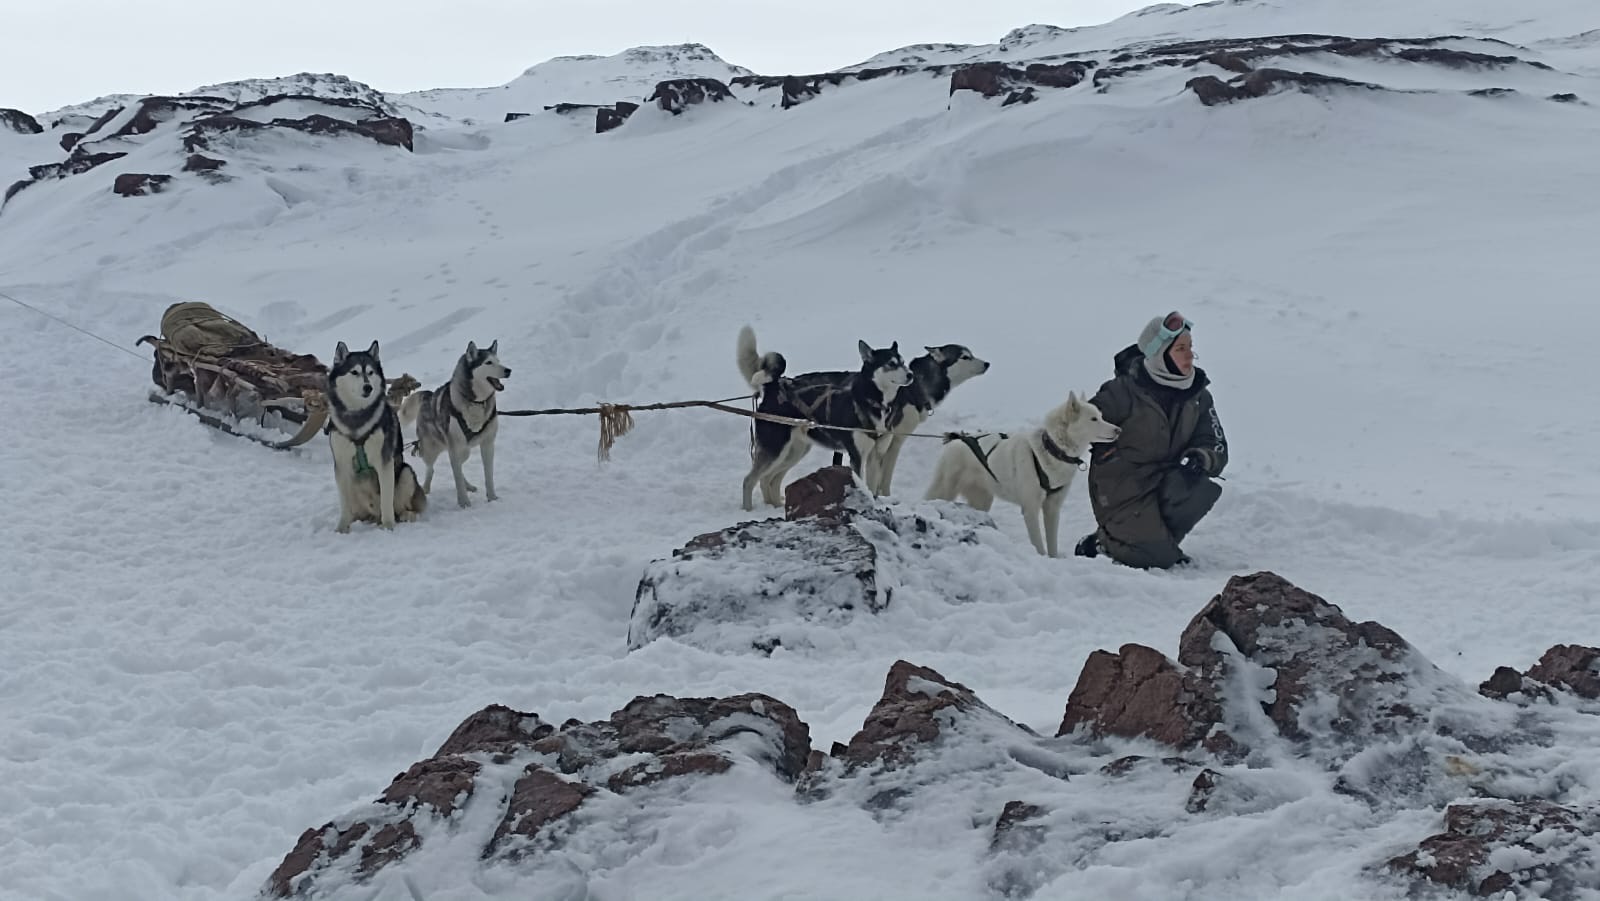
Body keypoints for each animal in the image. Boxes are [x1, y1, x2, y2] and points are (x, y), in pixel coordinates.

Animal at [928, 393, 1126, 556]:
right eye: (1093, 419)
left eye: (1101, 416)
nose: (1119, 430)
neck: (1052, 450)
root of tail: (957, 439)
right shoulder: (1030, 509)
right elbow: (1038, 543)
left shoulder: (1053, 508)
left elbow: (1052, 544)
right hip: (944, 491)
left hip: (982, 501)